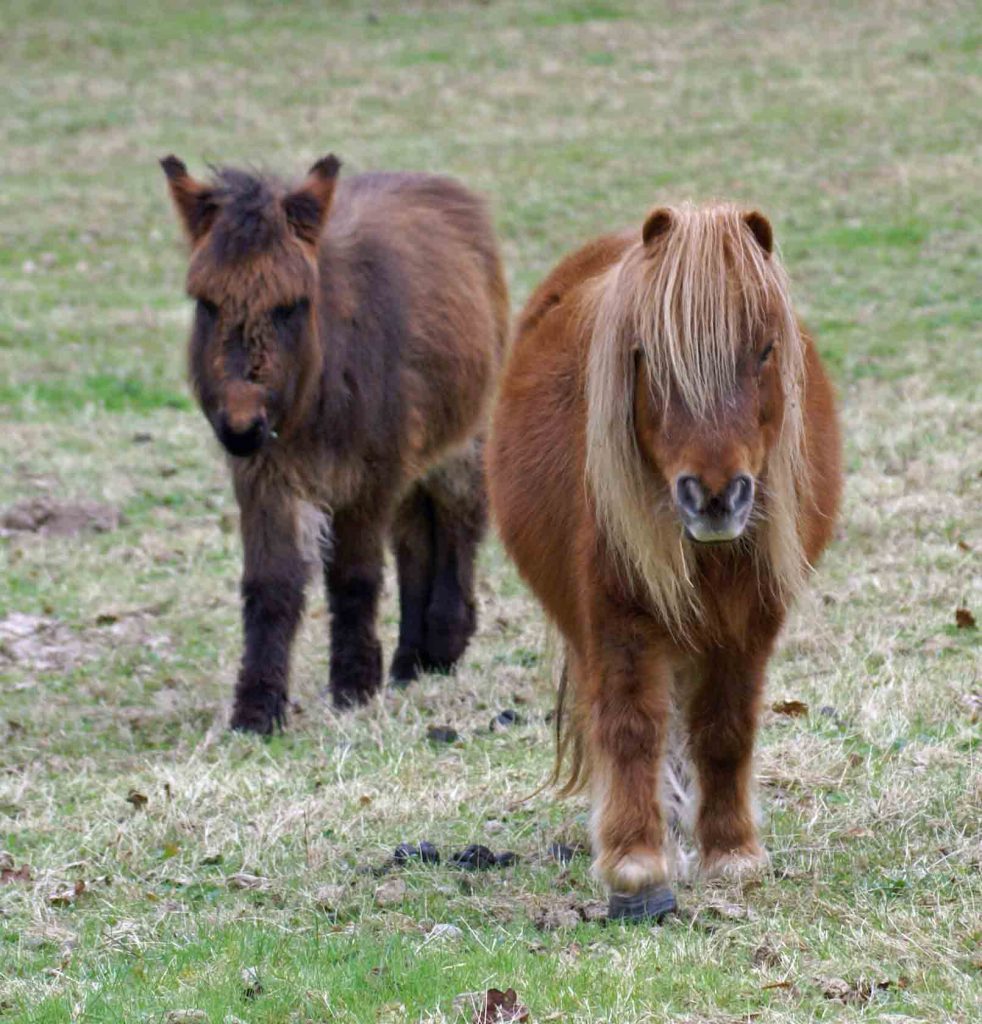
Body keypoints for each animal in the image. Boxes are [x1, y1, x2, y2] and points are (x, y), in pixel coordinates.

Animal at [162, 154, 509, 734]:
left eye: (292, 305)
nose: (241, 428)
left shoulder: (367, 476)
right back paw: (412, 660)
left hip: (457, 439)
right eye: (205, 303)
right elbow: (271, 586)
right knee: (415, 537)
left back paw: (442, 641)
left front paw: (353, 687)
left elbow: (353, 576)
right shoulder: (267, 479)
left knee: (458, 520)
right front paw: (257, 708)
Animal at [487, 203, 841, 920]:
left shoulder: (750, 622)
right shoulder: (616, 616)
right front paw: (635, 863)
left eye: (765, 350)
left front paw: (731, 852)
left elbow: (725, 728)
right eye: (646, 356)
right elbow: (631, 725)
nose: (715, 496)